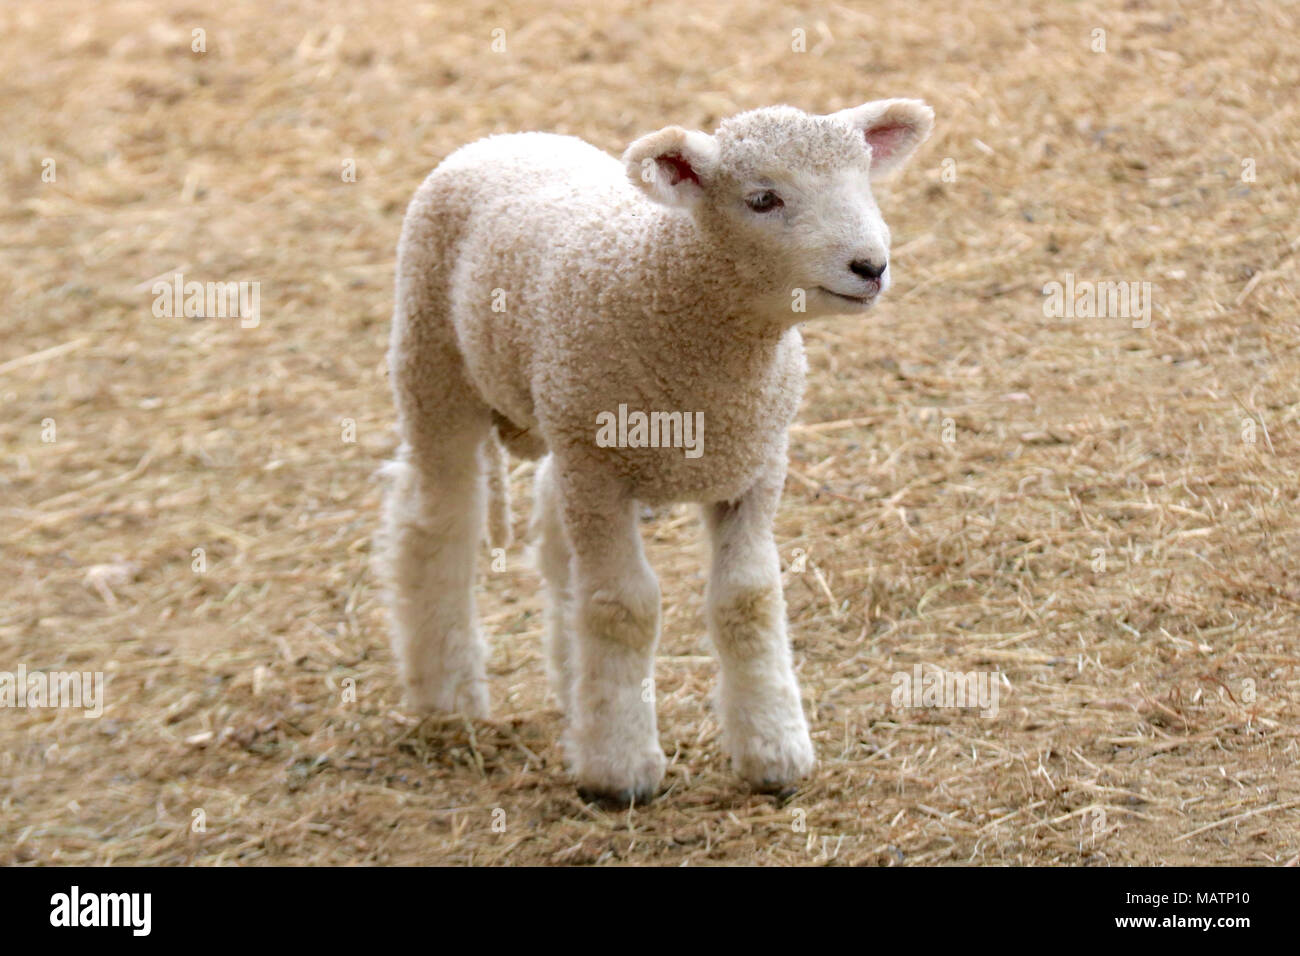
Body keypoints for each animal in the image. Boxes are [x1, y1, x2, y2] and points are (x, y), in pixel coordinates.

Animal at [380, 99, 934, 804]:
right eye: (762, 199)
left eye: (863, 181)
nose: (871, 267)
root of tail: (502, 137)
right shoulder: (600, 472)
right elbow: (624, 606)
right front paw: (621, 769)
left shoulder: (754, 466)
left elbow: (747, 598)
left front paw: (774, 751)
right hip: (434, 363)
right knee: (435, 525)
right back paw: (447, 697)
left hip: (563, 424)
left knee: (556, 545)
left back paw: (574, 691)